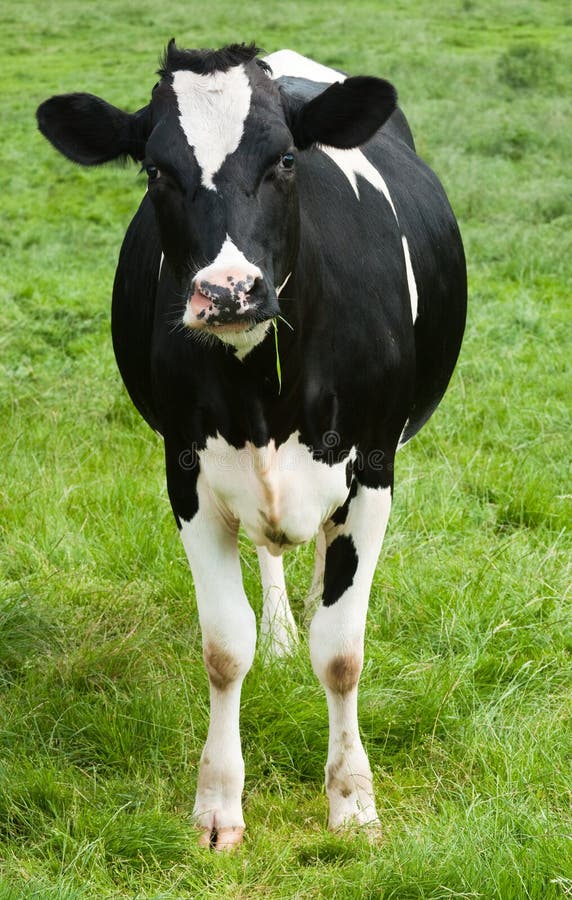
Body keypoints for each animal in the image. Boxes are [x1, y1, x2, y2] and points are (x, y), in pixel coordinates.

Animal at [37, 40, 466, 851]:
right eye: (156, 170)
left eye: (287, 160)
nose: (229, 291)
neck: (268, 386)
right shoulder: (187, 476)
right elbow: (224, 647)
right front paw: (217, 805)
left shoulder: (374, 470)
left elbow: (343, 651)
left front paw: (353, 802)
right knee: (269, 554)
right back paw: (281, 630)